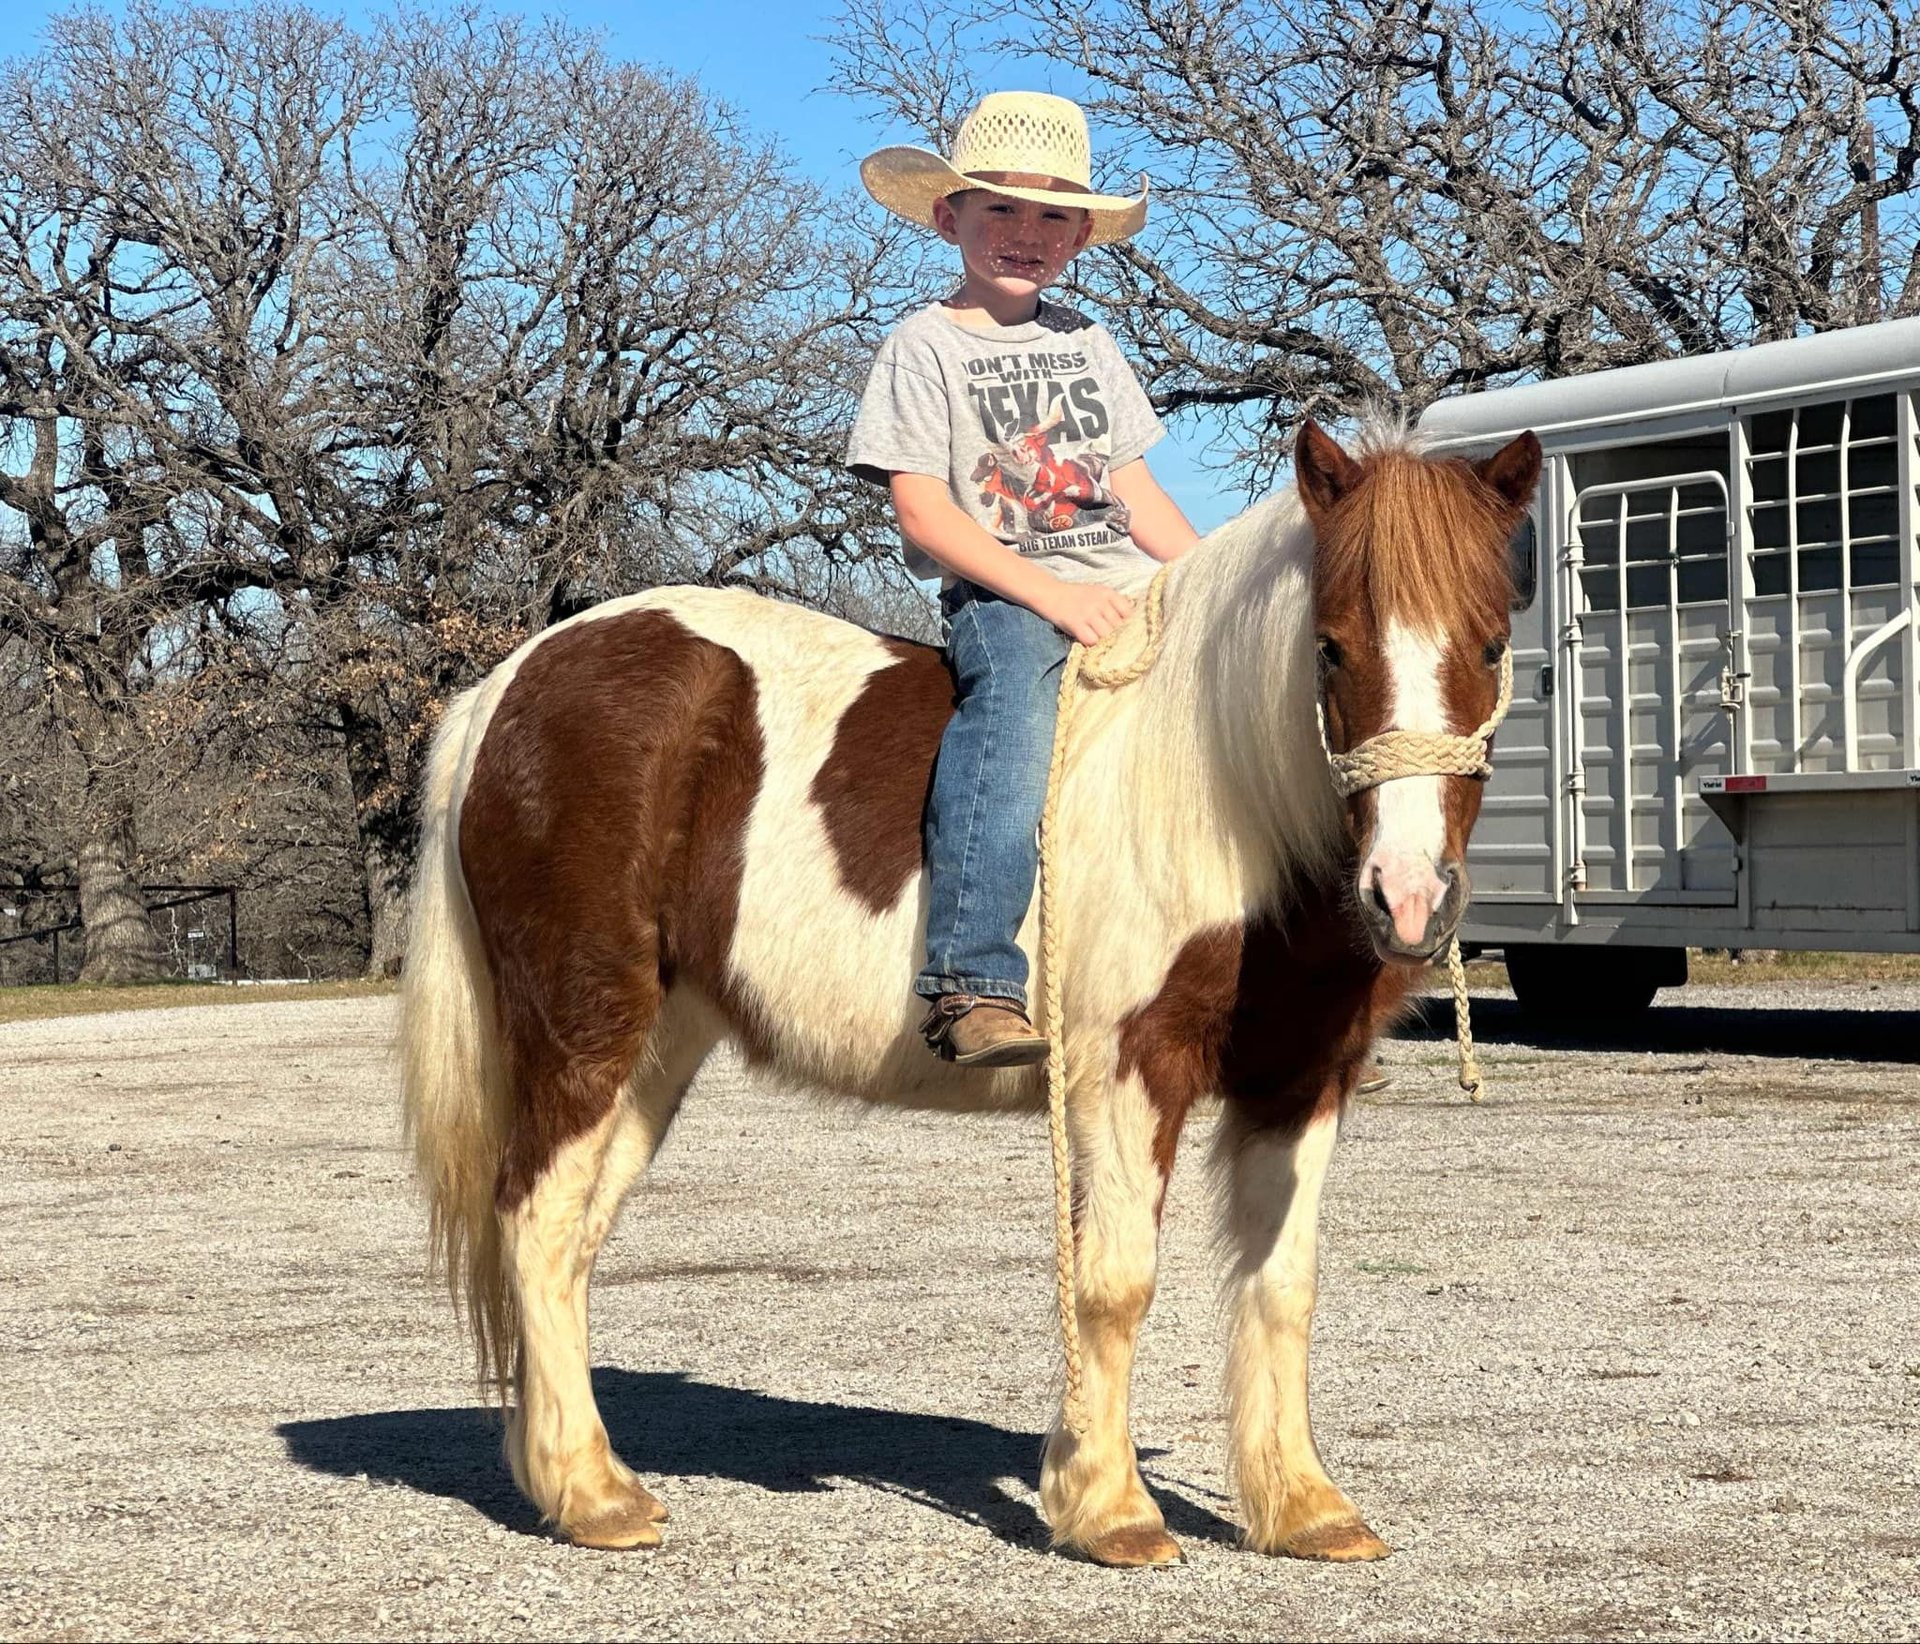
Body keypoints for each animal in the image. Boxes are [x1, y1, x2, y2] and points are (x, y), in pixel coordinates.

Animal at [399, 418, 1541, 1566]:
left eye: (1493, 647)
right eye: (1332, 647)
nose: (1407, 896)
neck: (1221, 791)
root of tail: (509, 684)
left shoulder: (1300, 1079)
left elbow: (1283, 1286)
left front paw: (1304, 1508)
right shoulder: (1130, 1065)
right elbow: (1115, 1281)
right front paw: (1112, 1511)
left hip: (657, 1048)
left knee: (570, 1243)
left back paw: (573, 1476)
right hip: (584, 1022)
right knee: (537, 1219)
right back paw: (594, 1498)